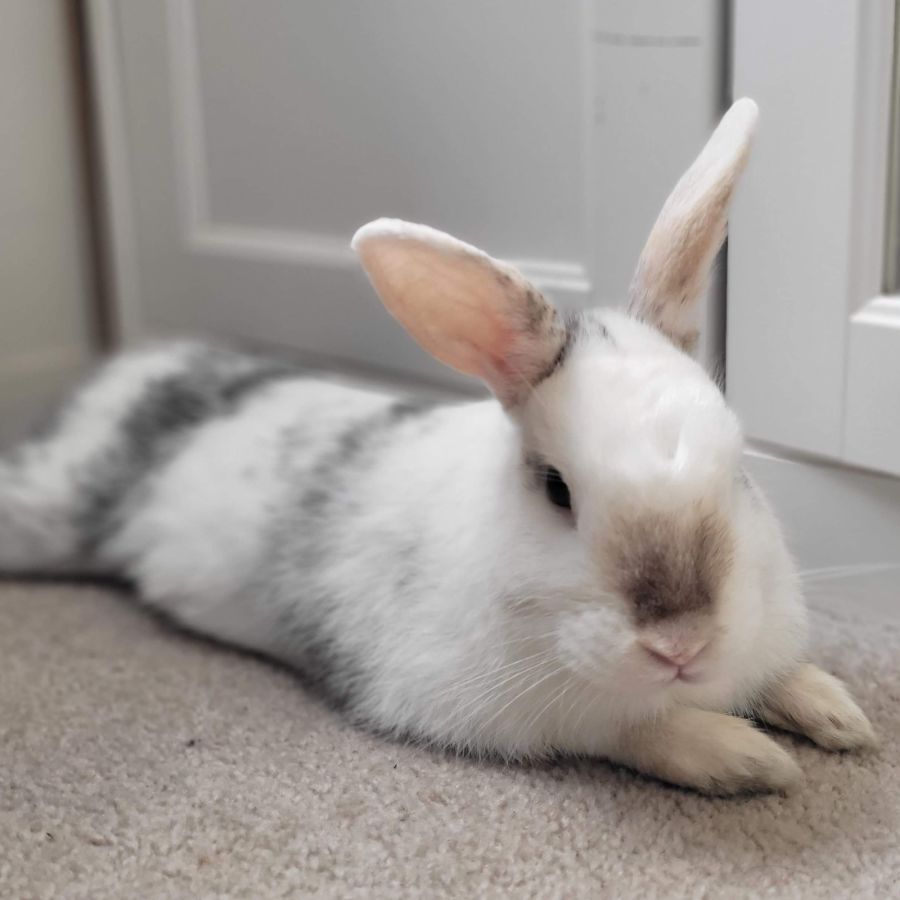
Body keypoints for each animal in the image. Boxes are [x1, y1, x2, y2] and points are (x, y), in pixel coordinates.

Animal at [0, 98, 875, 795]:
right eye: (556, 488)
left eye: (741, 472)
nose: (681, 643)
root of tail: (132, 370)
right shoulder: (531, 712)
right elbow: (639, 729)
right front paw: (752, 760)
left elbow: (781, 676)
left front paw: (841, 716)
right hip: (50, 510)